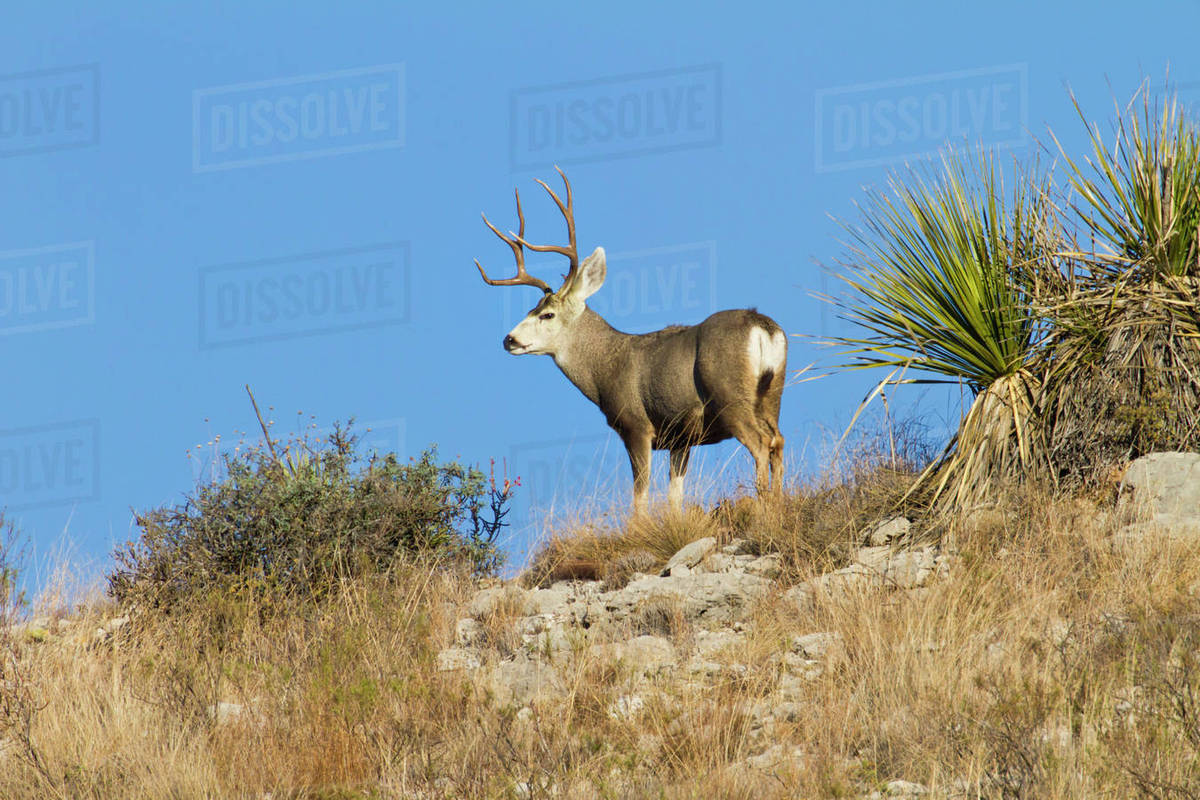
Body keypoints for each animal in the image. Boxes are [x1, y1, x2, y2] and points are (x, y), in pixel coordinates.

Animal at [475, 168, 786, 513]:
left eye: (547, 314)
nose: (509, 339)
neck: (606, 368)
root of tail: (762, 326)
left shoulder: (636, 425)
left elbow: (640, 497)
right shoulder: (680, 438)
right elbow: (674, 497)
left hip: (729, 395)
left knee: (760, 443)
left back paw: (764, 506)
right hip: (772, 396)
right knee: (778, 441)